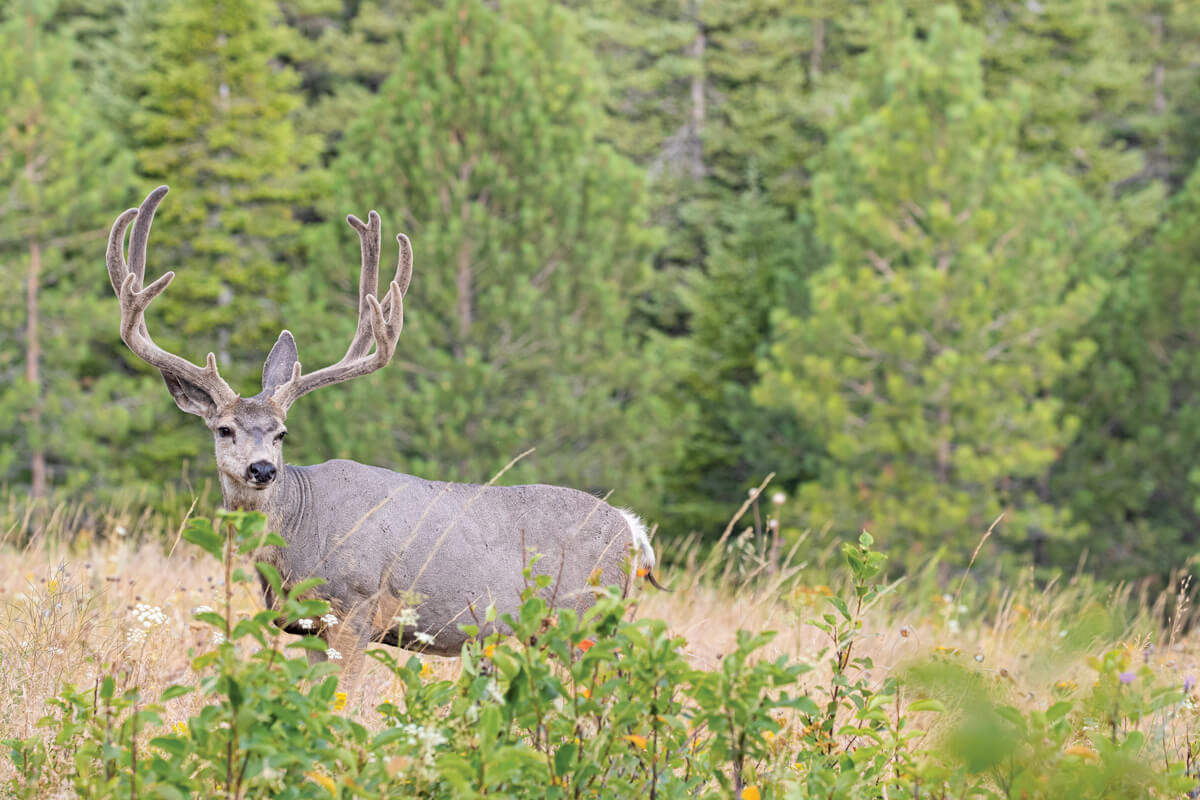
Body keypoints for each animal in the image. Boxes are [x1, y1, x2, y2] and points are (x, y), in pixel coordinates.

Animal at [105, 185, 663, 693]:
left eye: (283, 433)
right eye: (224, 429)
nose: (262, 469)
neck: (297, 534)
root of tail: (633, 531)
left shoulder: (357, 606)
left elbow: (340, 702)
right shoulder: (309, 625)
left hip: (584, 616)